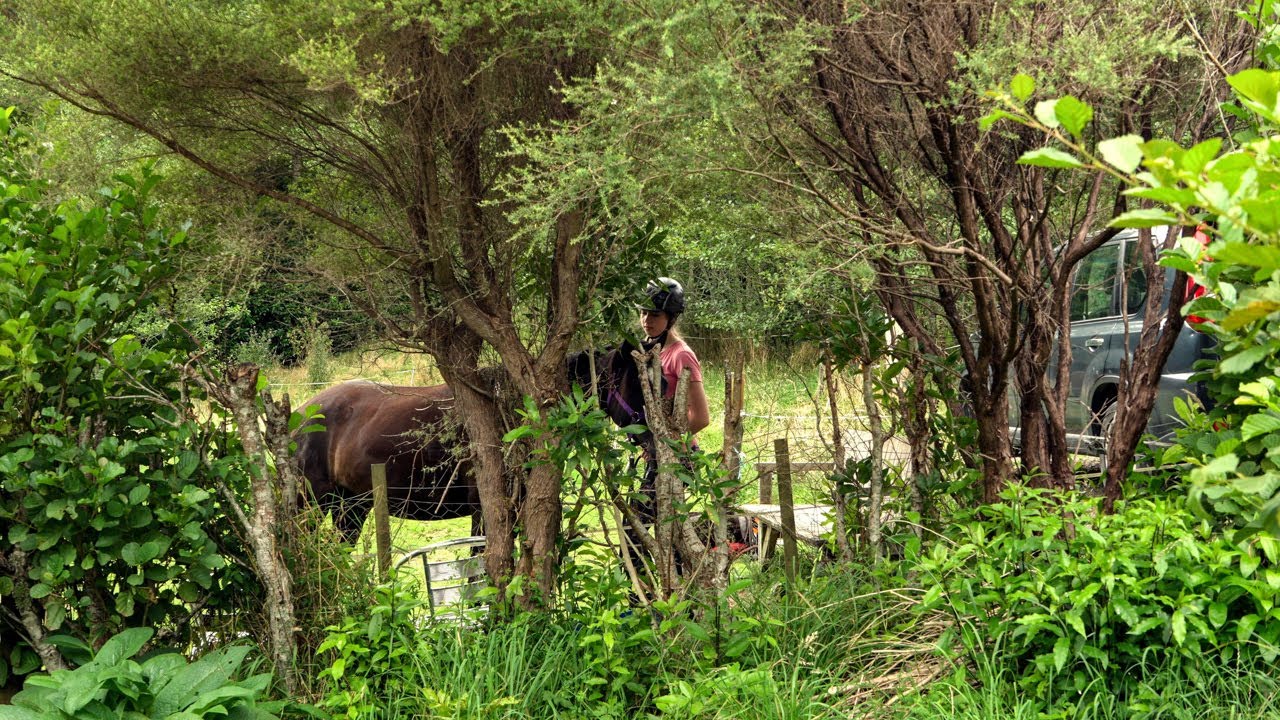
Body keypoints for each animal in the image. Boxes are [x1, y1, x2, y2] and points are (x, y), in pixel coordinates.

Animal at [295, 348, 647, 542]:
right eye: (636, 383)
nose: (649, 434)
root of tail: (300, 415)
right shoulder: (486, 510)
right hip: (313, 509)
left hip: (351, 509)